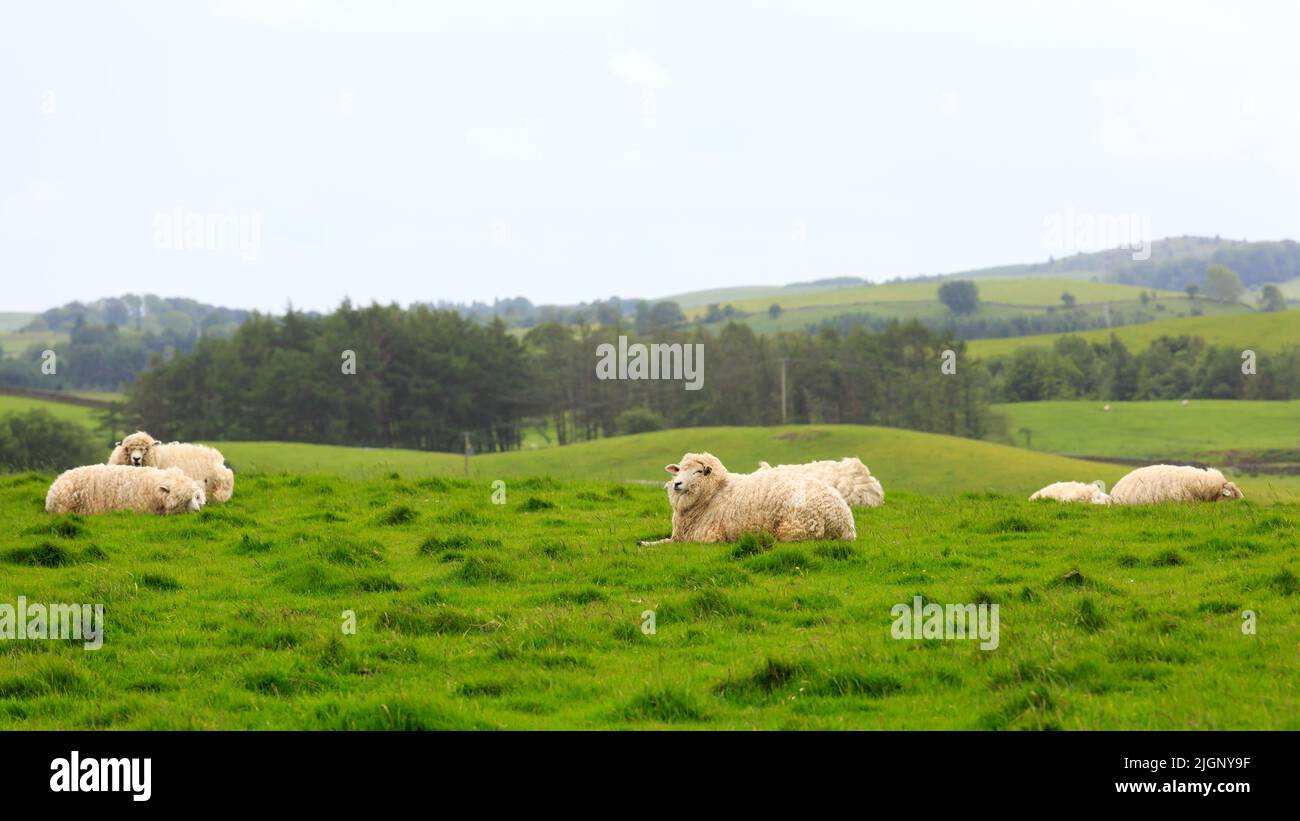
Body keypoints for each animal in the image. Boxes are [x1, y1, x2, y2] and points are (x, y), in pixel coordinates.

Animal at [636, 452, 856, 545]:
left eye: (698, 471)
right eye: (679, 470)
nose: (677, 484)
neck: (713, 494)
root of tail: (842, 518)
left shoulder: (706, 537)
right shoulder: (679, 536)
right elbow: (662, 541)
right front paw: (643, 543)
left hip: (795, 528)